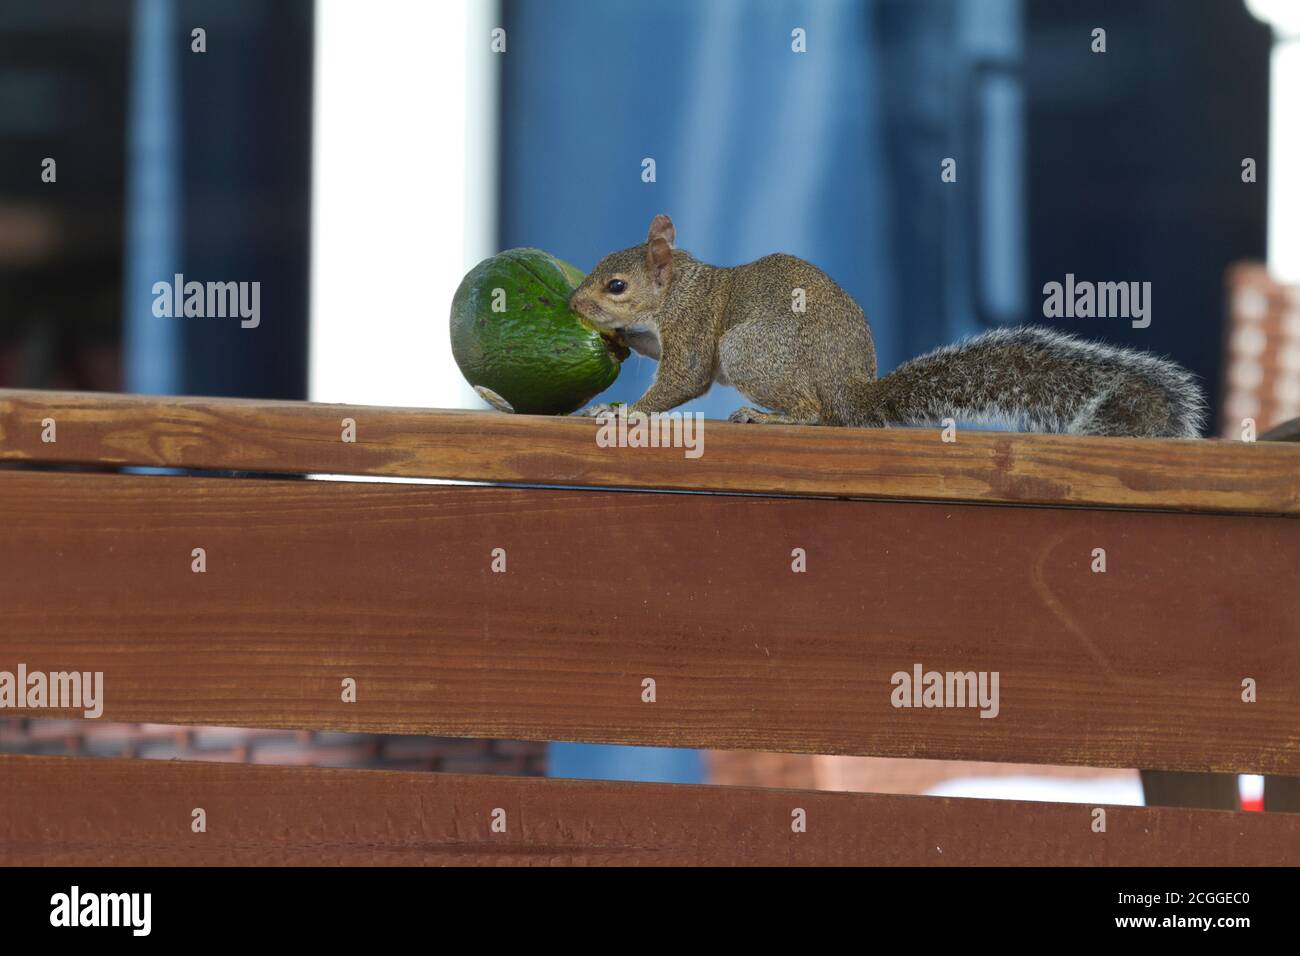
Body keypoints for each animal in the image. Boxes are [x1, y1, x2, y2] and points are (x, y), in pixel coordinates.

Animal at [567, 214, 1206, 438]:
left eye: (615, 285)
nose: (574, 303)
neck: (678, 289)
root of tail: (850, 392)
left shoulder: (695, 327)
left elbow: (684, 378)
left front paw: (624, 411)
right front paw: (620, 344)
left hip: (751, 349)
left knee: (815, 414)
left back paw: (771, 415)